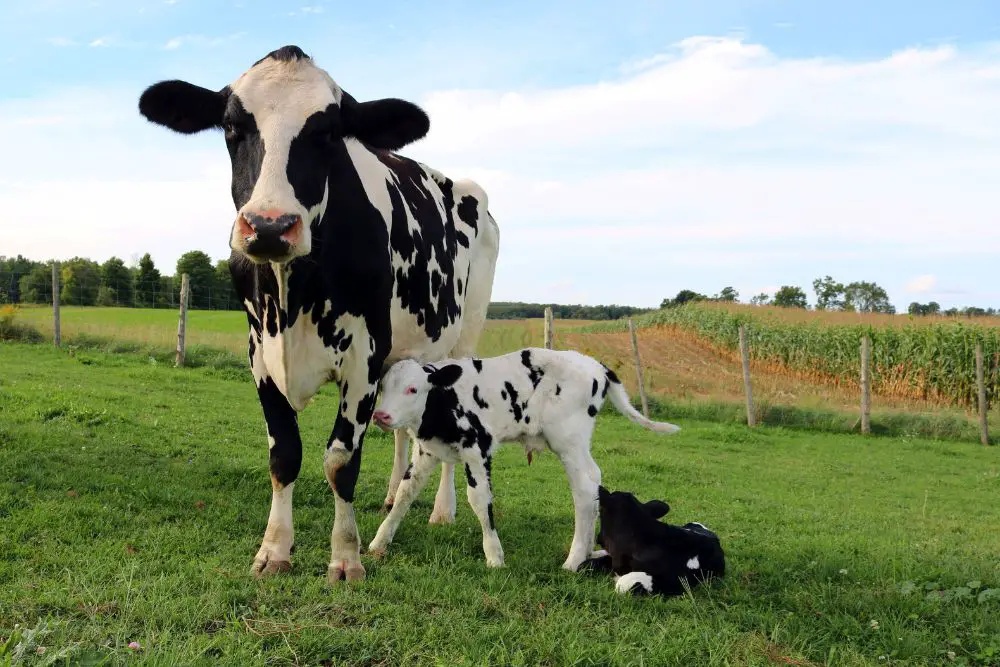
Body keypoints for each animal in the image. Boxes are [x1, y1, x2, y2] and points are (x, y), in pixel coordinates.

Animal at [137, 45, 501, 583]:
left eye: (328, 132)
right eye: (231, 126)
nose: (270, 226)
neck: (294, 295)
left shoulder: (364, 356)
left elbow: (340, 461)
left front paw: (346, 556)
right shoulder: (259, 353)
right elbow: (284, 454)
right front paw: (274, 550)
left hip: (464, 335)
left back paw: (442, 510)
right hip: (405, 355)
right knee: (401, 430)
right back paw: (394, 493)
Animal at [365, 348, 681, 571]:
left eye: (413, 388)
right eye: (383, 387)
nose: (381, 415)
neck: (442, 402)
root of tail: (595, 365)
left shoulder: (478, 448)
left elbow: (479, 499)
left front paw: (494, 556)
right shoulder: (427, 451)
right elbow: (405, 492)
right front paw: (380, 541)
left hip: (568, 440)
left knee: (584, 487)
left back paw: (573, 560)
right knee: (594, 480)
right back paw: (588, 551)